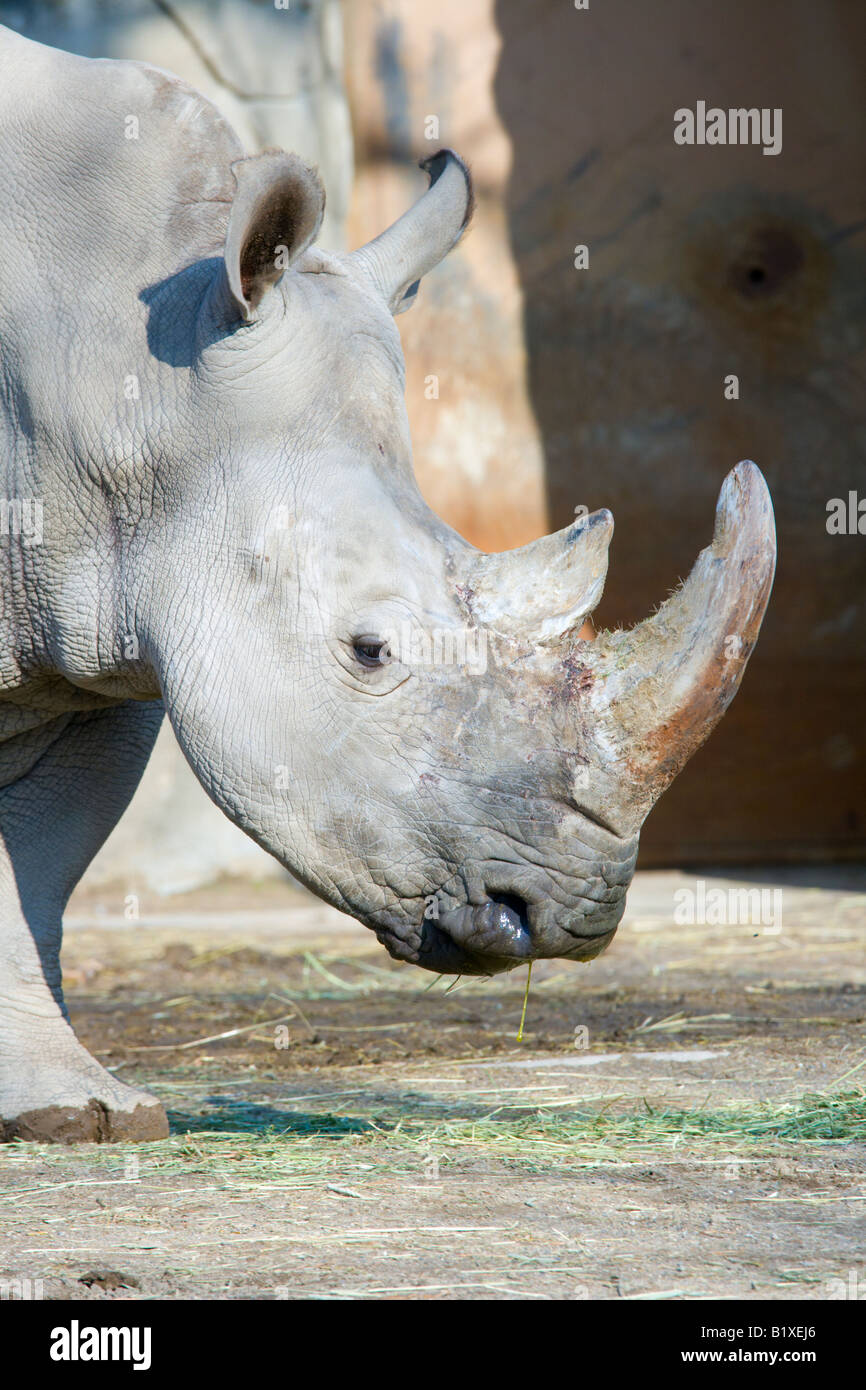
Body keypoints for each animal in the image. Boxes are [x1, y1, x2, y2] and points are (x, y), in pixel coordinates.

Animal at [0, 28, 775, 1142]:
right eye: (370, 652)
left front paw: (72, 1108)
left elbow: (40, 861)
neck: (124, 370)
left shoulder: (98, 625)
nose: (569, 915)